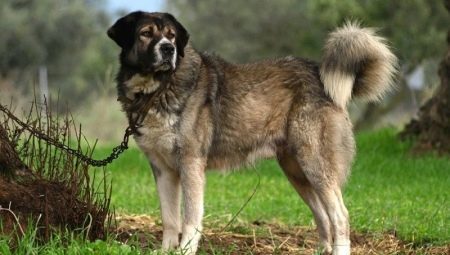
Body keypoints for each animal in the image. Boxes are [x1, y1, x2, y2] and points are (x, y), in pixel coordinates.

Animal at [109, 11, 398, 255]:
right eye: (146, 33)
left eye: (170, 36)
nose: (168, 49)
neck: (157, 89)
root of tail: (319, 73)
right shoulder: (163, 170)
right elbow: (169, 219)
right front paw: (166, 250)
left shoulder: (191, 164)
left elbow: (190, 217)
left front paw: (184, 250)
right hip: (297, 172)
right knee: (324, 216)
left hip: (315, 164)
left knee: (340, 216)